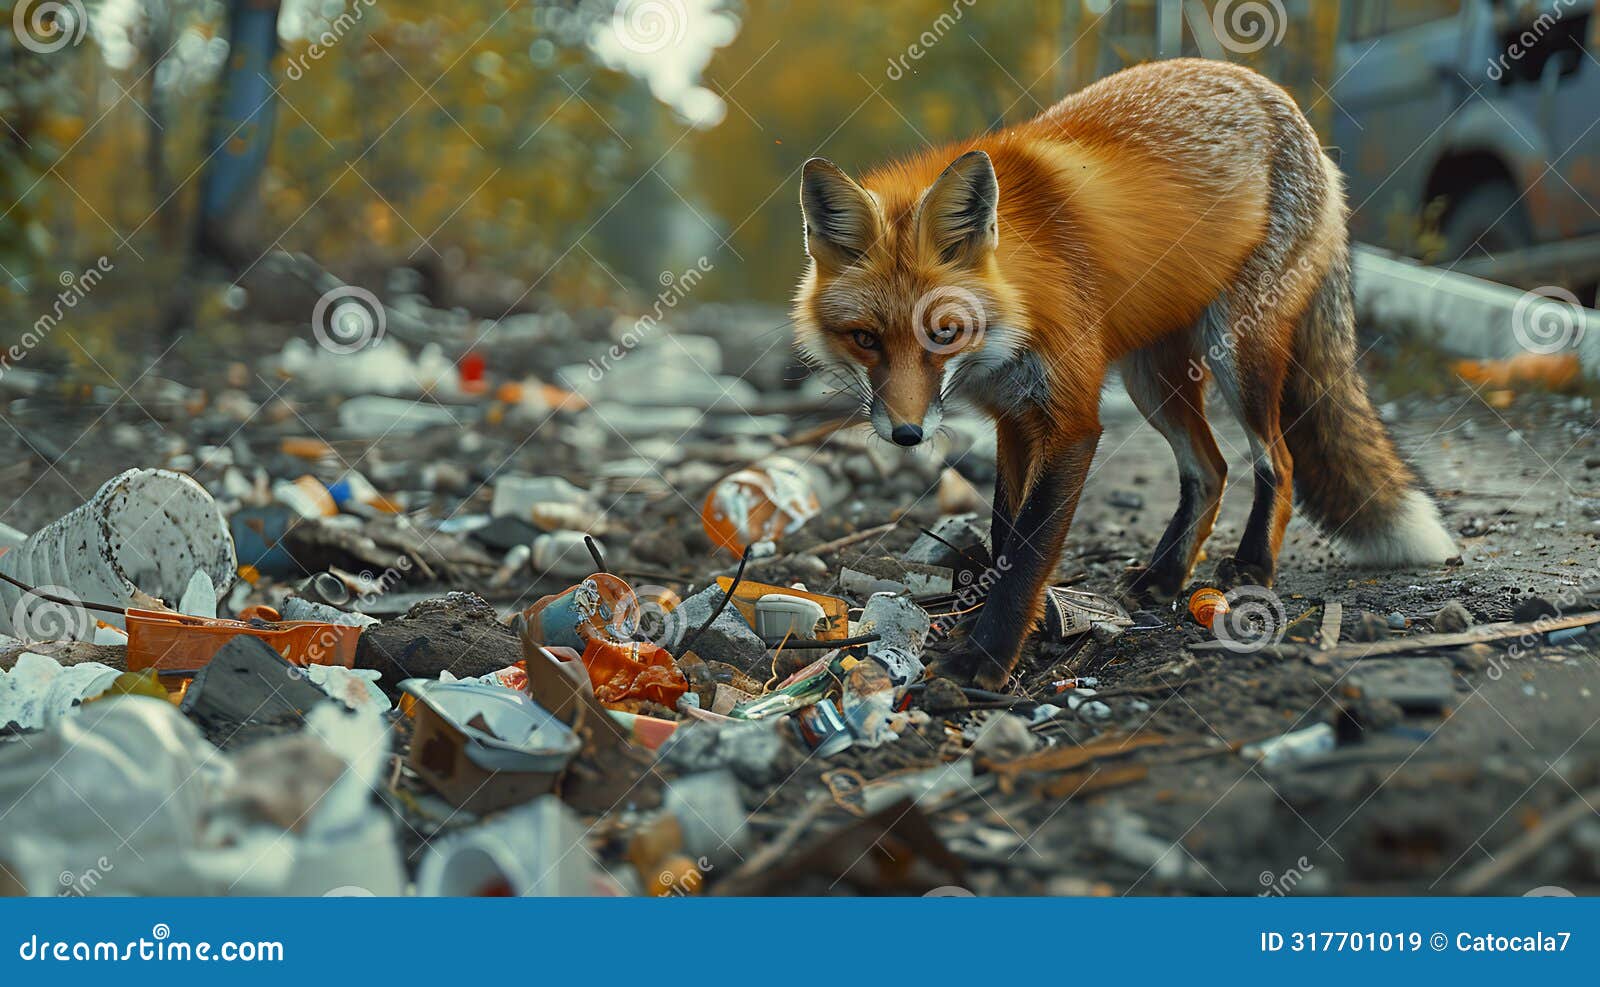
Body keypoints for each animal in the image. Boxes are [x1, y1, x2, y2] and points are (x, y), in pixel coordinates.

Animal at [792, 58, 1456, 689]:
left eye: (944, 334)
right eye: (865, 339)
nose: (906, 434)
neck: (1022, 297)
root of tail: (1280, 101)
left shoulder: (1071, 421)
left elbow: (1029, 549)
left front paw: (988, 655)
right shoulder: (1014, 414)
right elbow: (1006, 531)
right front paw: (1027, 626)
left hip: (1235, 353)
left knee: (1279, 459)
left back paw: (1252, 565)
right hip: (1151, 381)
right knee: (1210, 470)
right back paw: (1164, 576)